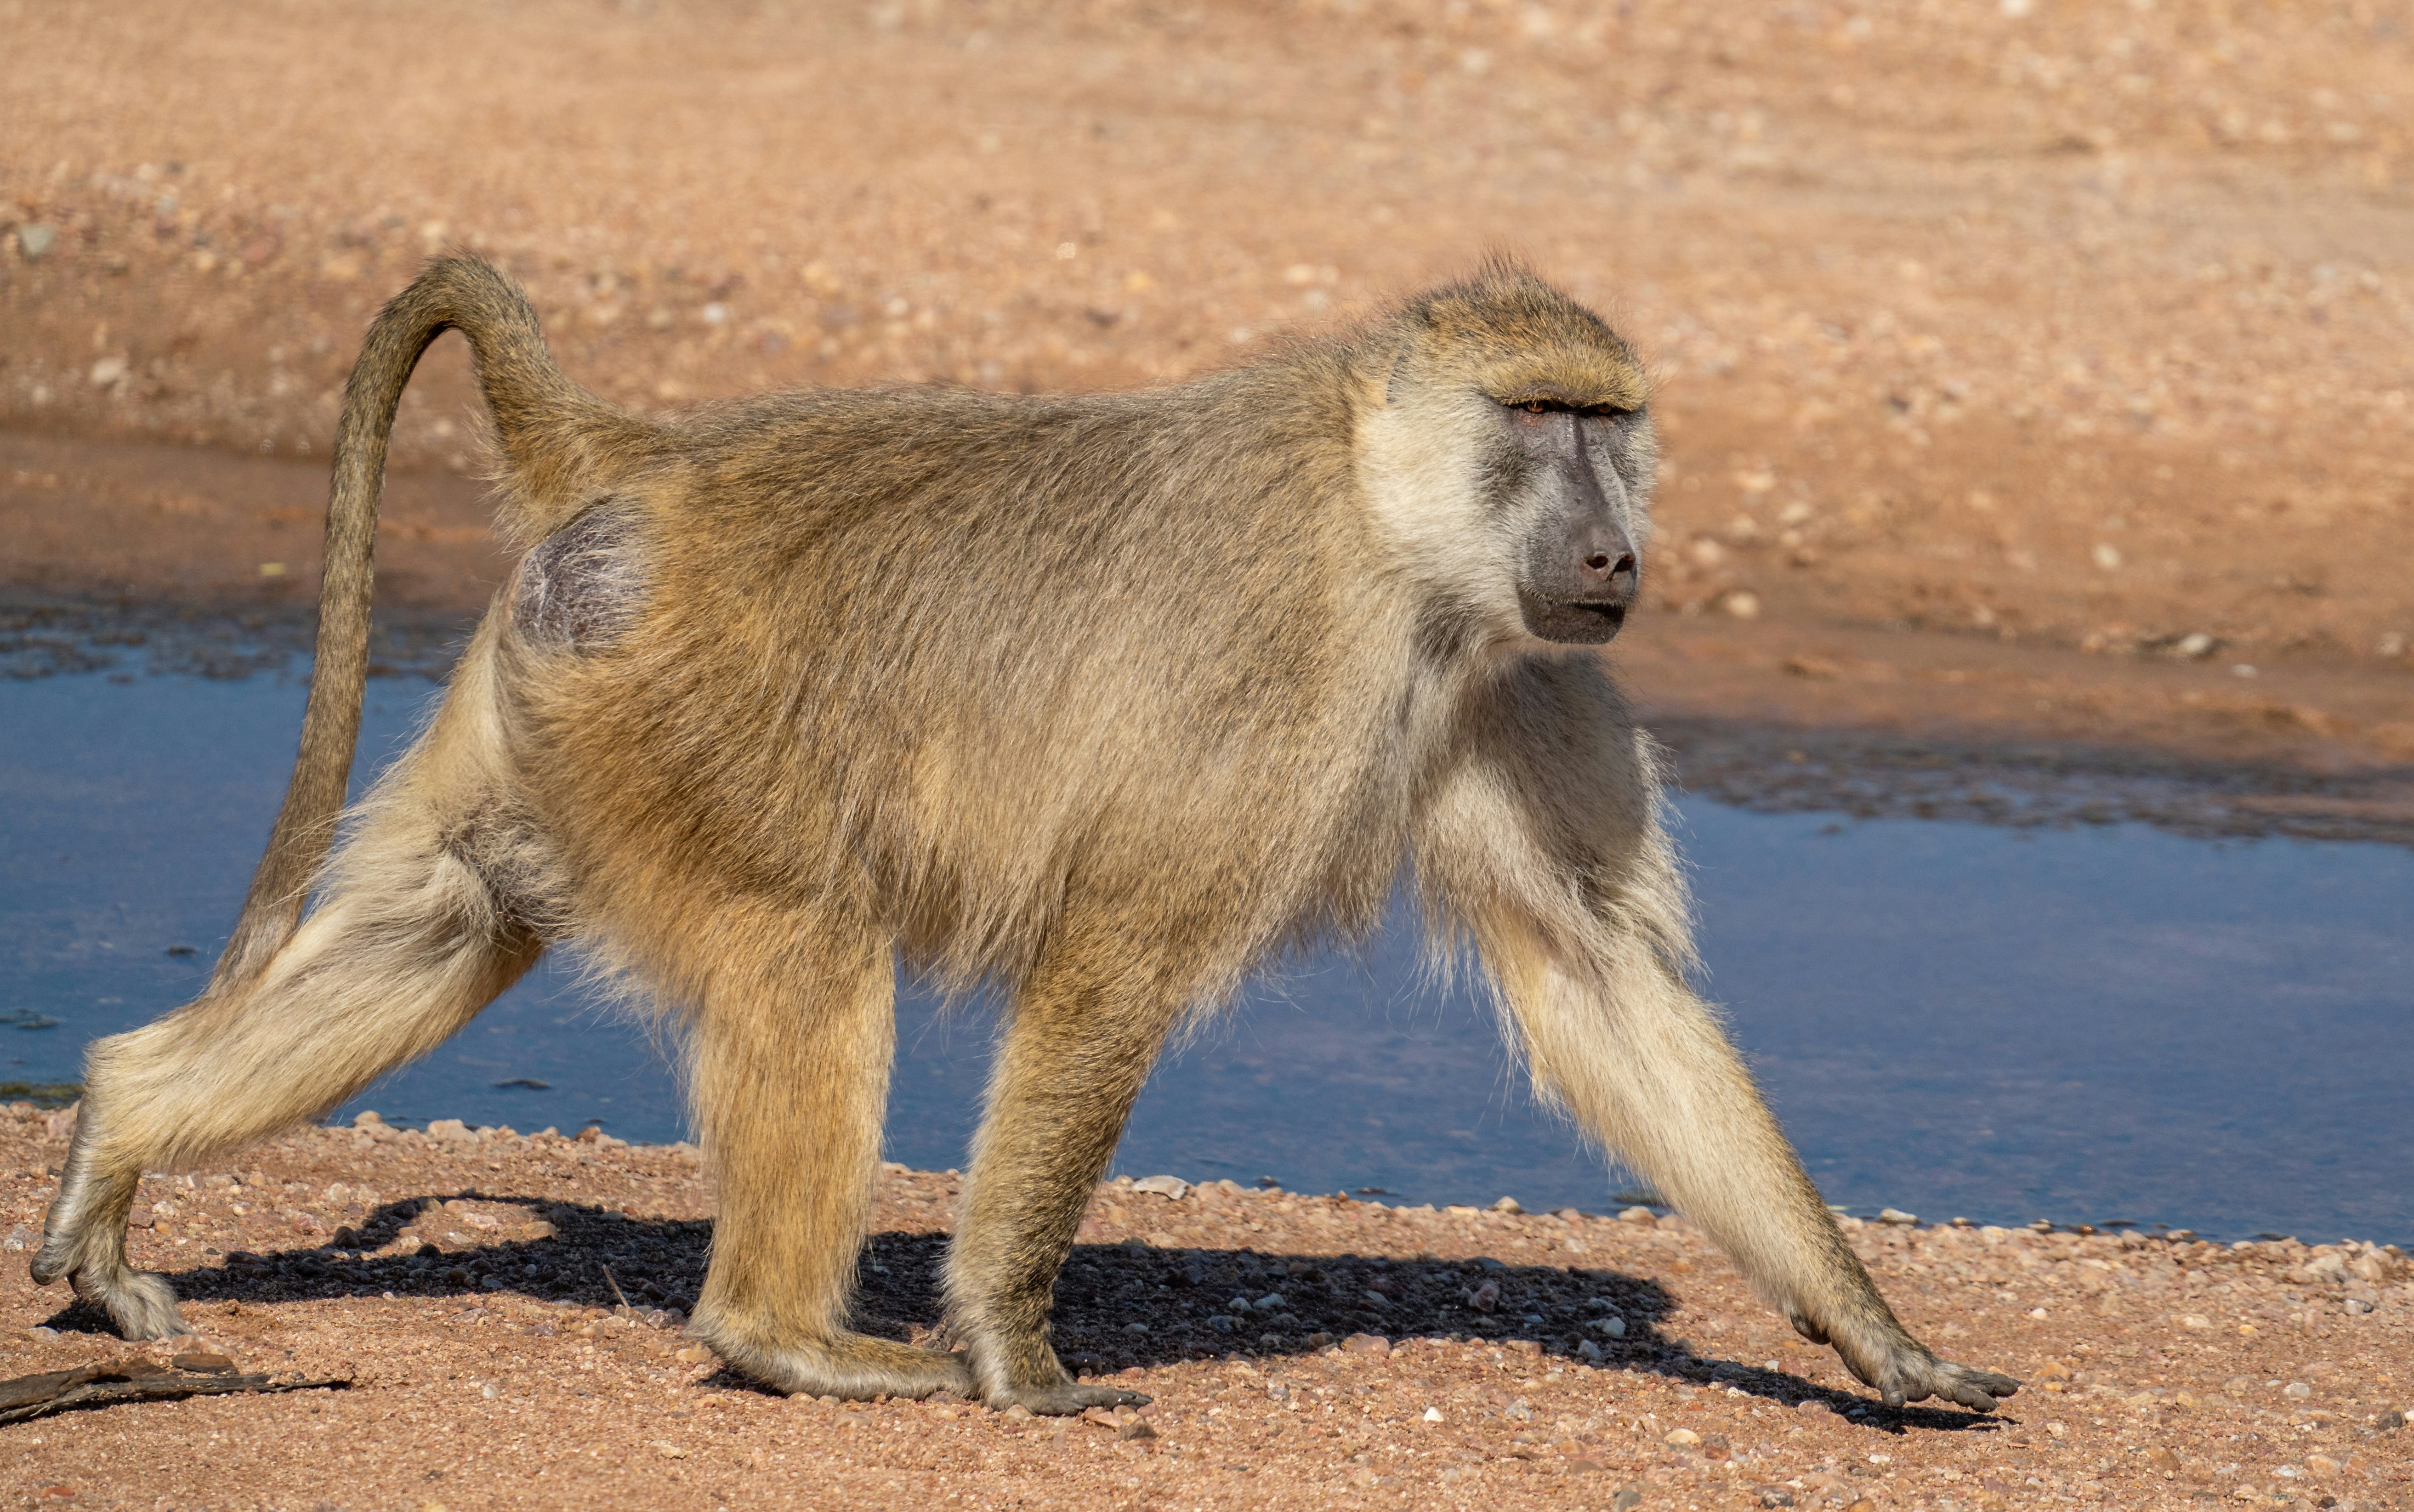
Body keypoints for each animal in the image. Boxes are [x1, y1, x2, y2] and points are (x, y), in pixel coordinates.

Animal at [35, 254, 2018, 1417]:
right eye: (1538, 420)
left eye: (1611, 425)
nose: (1612, 552)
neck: (1395, 536)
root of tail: (653, 459)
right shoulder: (1266, 663)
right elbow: (1116, 954)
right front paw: (1012, 1352)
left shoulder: (1524, 678)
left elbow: (1603, 982)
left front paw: (1871, 1333)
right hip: (676, 716)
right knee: (805, 959)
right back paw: (784, 1337)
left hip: (559, 703)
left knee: (454, 920)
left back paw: (122, 1122)